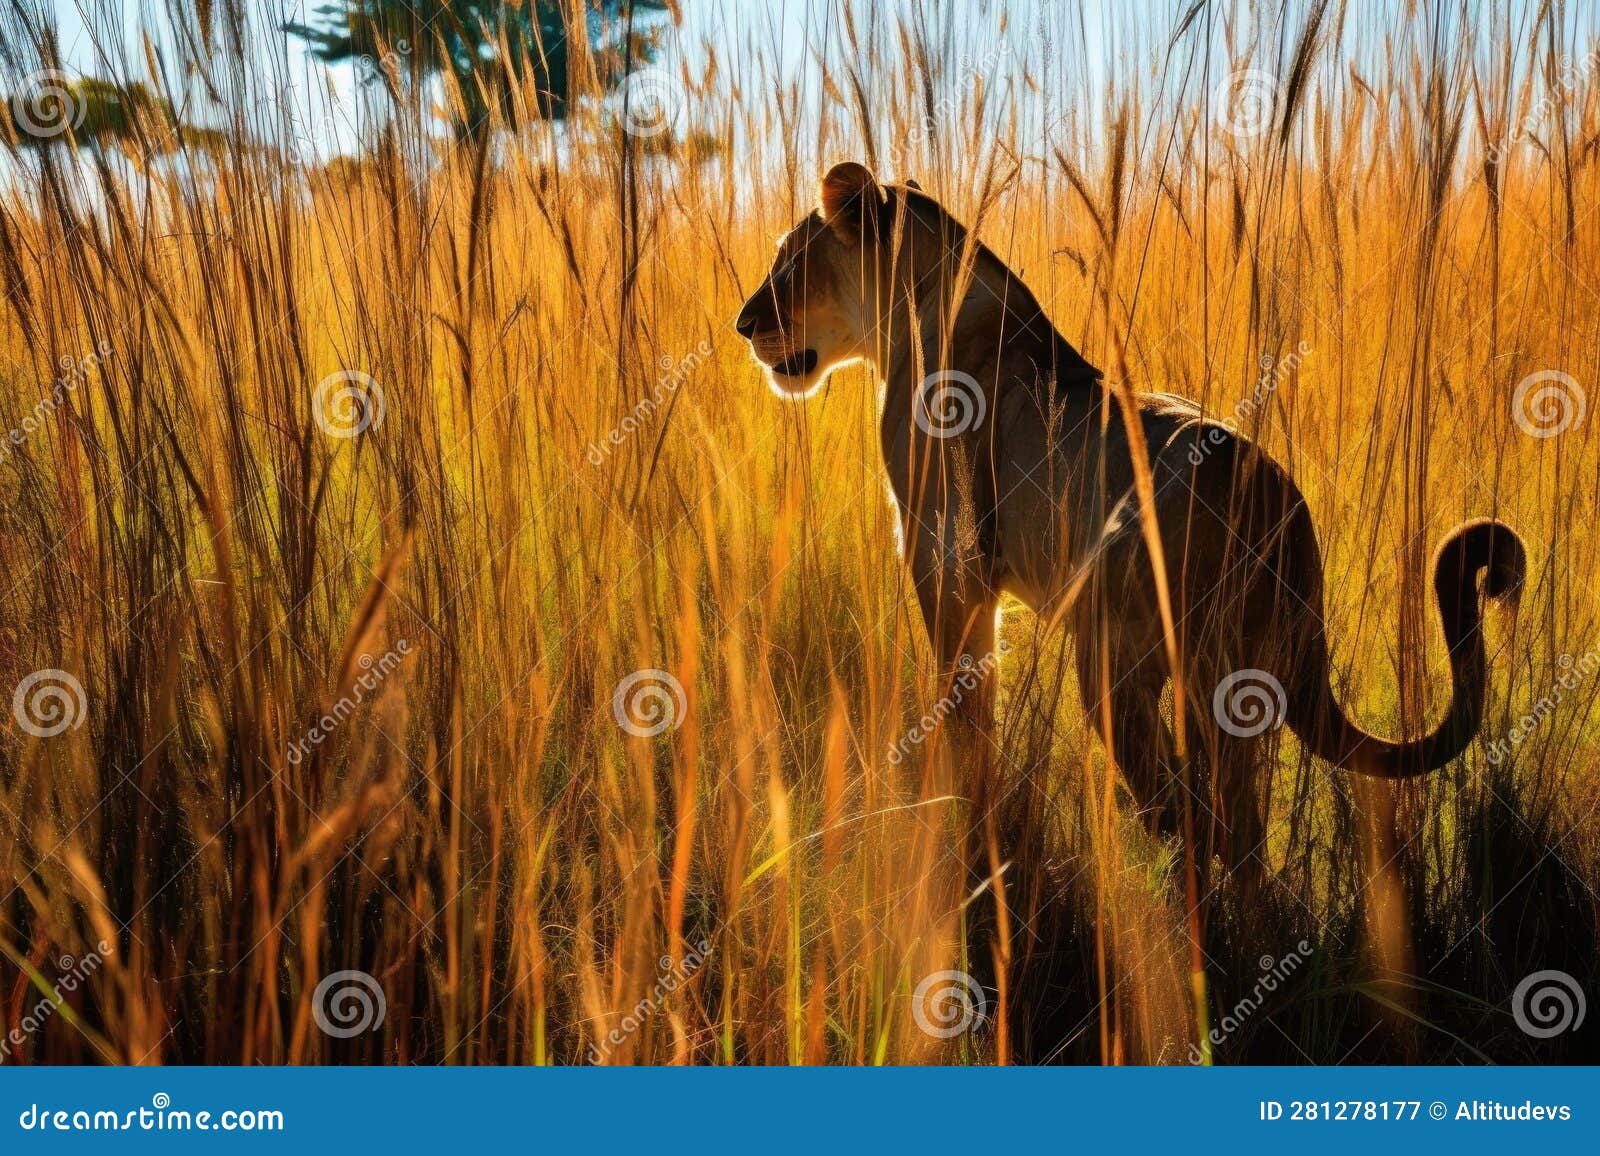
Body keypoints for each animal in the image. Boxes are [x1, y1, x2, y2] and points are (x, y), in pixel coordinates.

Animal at [735, 161, 1526, 885]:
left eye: (789, 260)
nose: (743, 325)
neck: (915, 308)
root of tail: (1285, 517)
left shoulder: (948, 563)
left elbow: (965, 708)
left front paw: (972, 824)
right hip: (1233, 693)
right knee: (1232, 828)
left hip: (1119, 659)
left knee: (1197, 816)